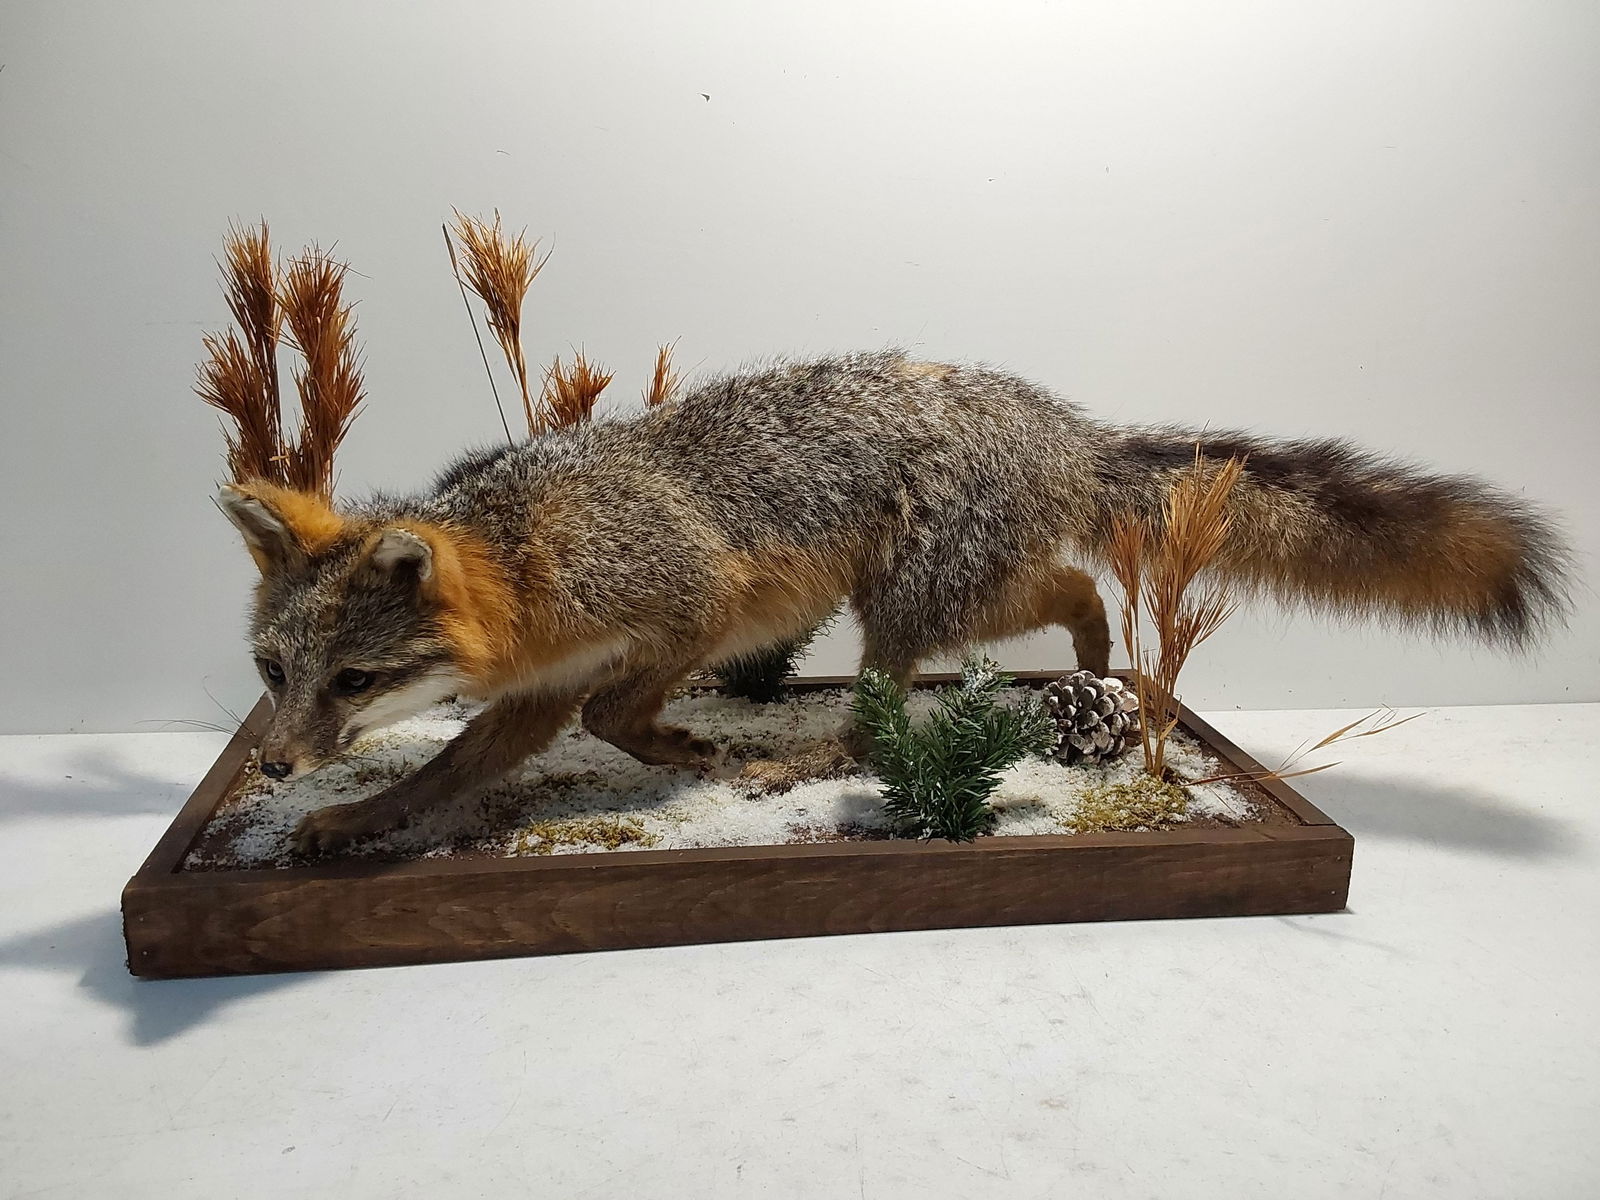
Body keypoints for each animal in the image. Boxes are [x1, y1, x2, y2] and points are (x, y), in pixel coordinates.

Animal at [216, 350, 1571, 855]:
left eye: (354, 679)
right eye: (274, 676)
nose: (271, 765)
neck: (534, 556)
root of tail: (1059, 427)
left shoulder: (693, 606)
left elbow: (622, 716)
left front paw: (699, 753)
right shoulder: (537, 690)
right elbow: (454, 769)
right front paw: (354, 821)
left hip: (910, 608)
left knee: (924, 680)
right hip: (946, 600)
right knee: (1071, 585)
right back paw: (1100, 681)